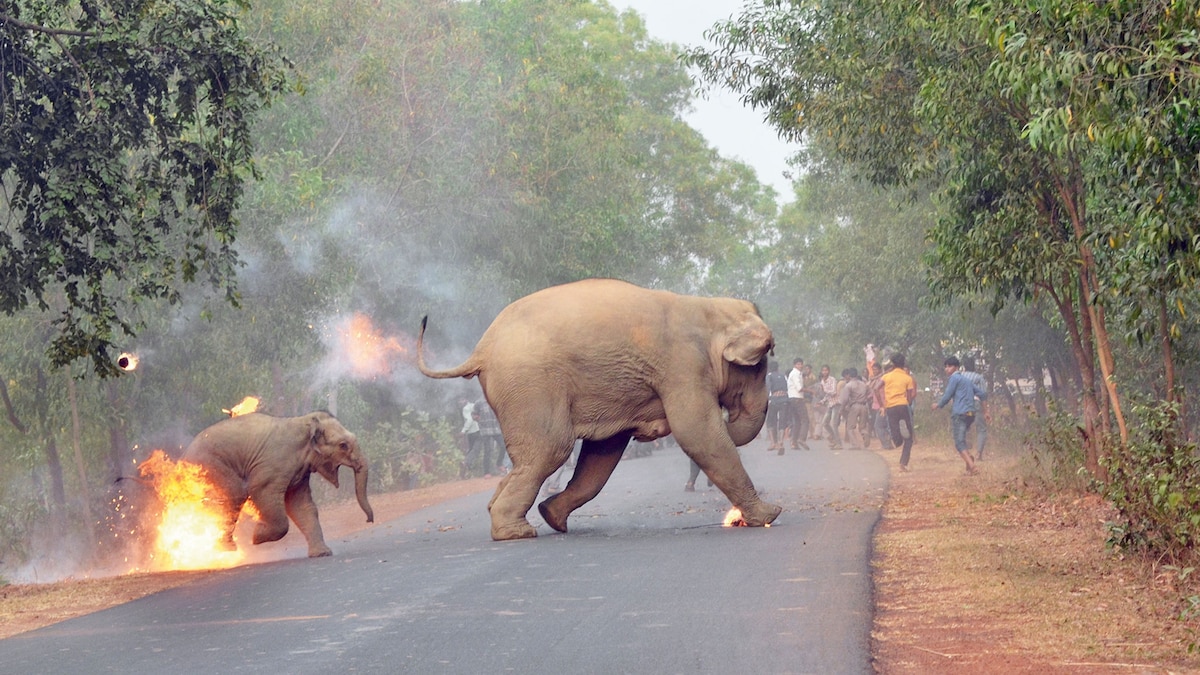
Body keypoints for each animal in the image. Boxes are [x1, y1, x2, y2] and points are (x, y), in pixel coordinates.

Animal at [180, 411, 374, 557]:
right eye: (343, 445)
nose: (368, 520)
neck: (305, 421)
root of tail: (185, 455)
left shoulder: (299, 473)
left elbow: (301, 505)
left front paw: (322, 554)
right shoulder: (272, 466)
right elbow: (262, 492)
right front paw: (256, 536)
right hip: (212, 467)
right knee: (233, 496)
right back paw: (226, 550)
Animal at [416, 278, 782, 541]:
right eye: (760, 366)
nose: (730, 417)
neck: (708, 307)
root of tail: (481, 348)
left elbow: (603, 452)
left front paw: (552, 515)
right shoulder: (683, 366)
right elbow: (698, 433)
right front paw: (770, 514)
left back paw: (521, 516)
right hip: (530, 384)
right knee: (552, 448)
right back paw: (515, 533)